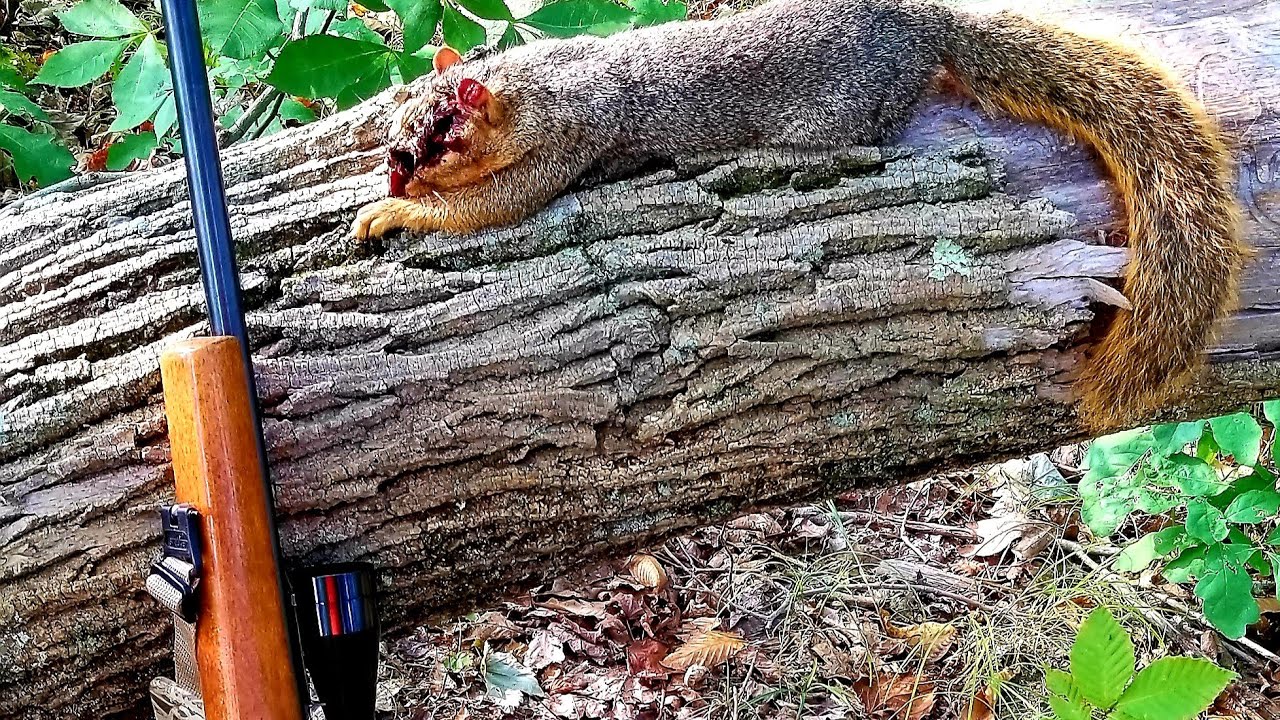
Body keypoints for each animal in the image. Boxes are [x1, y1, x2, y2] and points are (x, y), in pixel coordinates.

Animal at [350, 0, 1247, 430]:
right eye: (402, 107)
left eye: (439, 136)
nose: (394, 167)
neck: (531, 85)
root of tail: (927, 22)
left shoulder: (569, 141)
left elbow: (499, 205)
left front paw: (394, 214)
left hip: (847, 113)